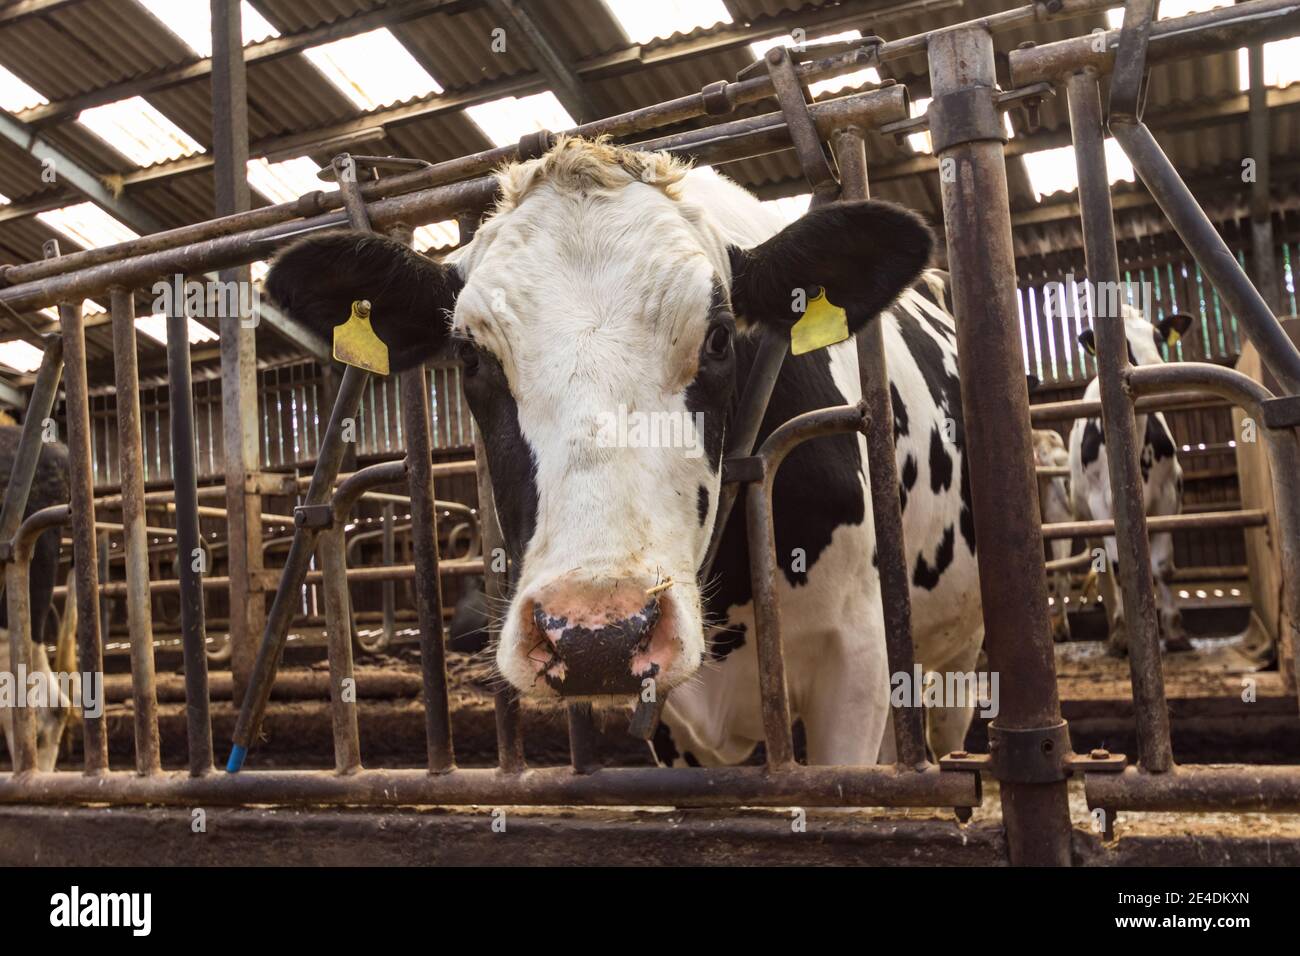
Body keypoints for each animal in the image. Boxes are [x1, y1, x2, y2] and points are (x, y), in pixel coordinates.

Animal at [1069, 306, 1194, 657]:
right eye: (1122, 343)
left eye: (1158, 337)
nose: (1155, 371)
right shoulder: (1101, 504)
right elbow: (1119, 567)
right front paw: (1127, 634)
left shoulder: (1169, 495)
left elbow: (1163, 566)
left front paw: (1175, 631)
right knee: (1104, 569)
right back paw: (1117, 628)